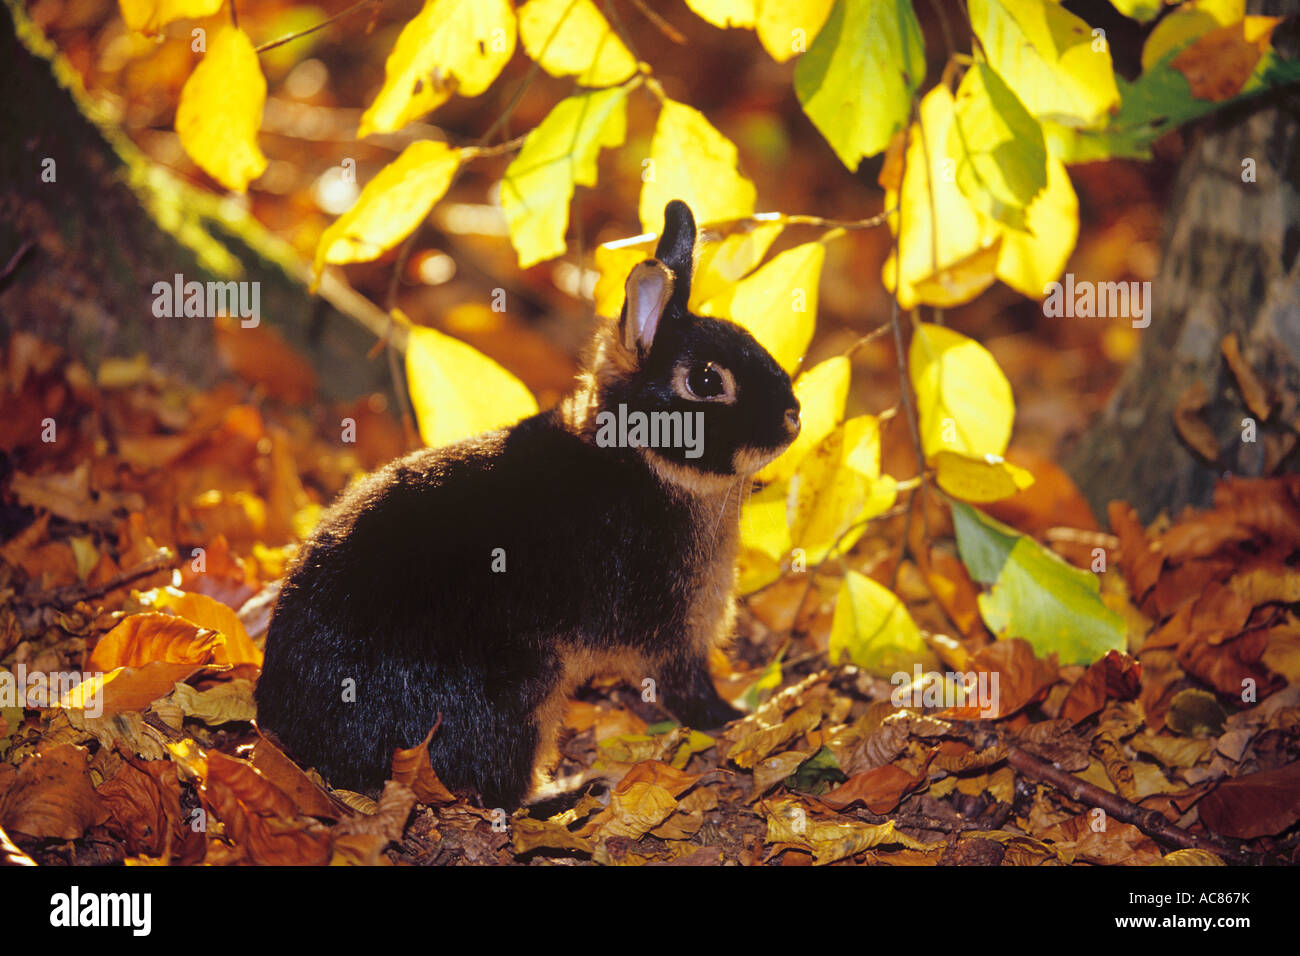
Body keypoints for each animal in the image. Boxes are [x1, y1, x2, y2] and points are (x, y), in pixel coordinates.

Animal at [256, 200, 801, 809]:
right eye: (706, 381)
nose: (793, 416)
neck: (641, 457)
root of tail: (305, 744)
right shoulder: (673, 636)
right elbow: (687, 690)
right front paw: (735, 717)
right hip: (519, 691)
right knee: (499, 789)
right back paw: (575, 791)